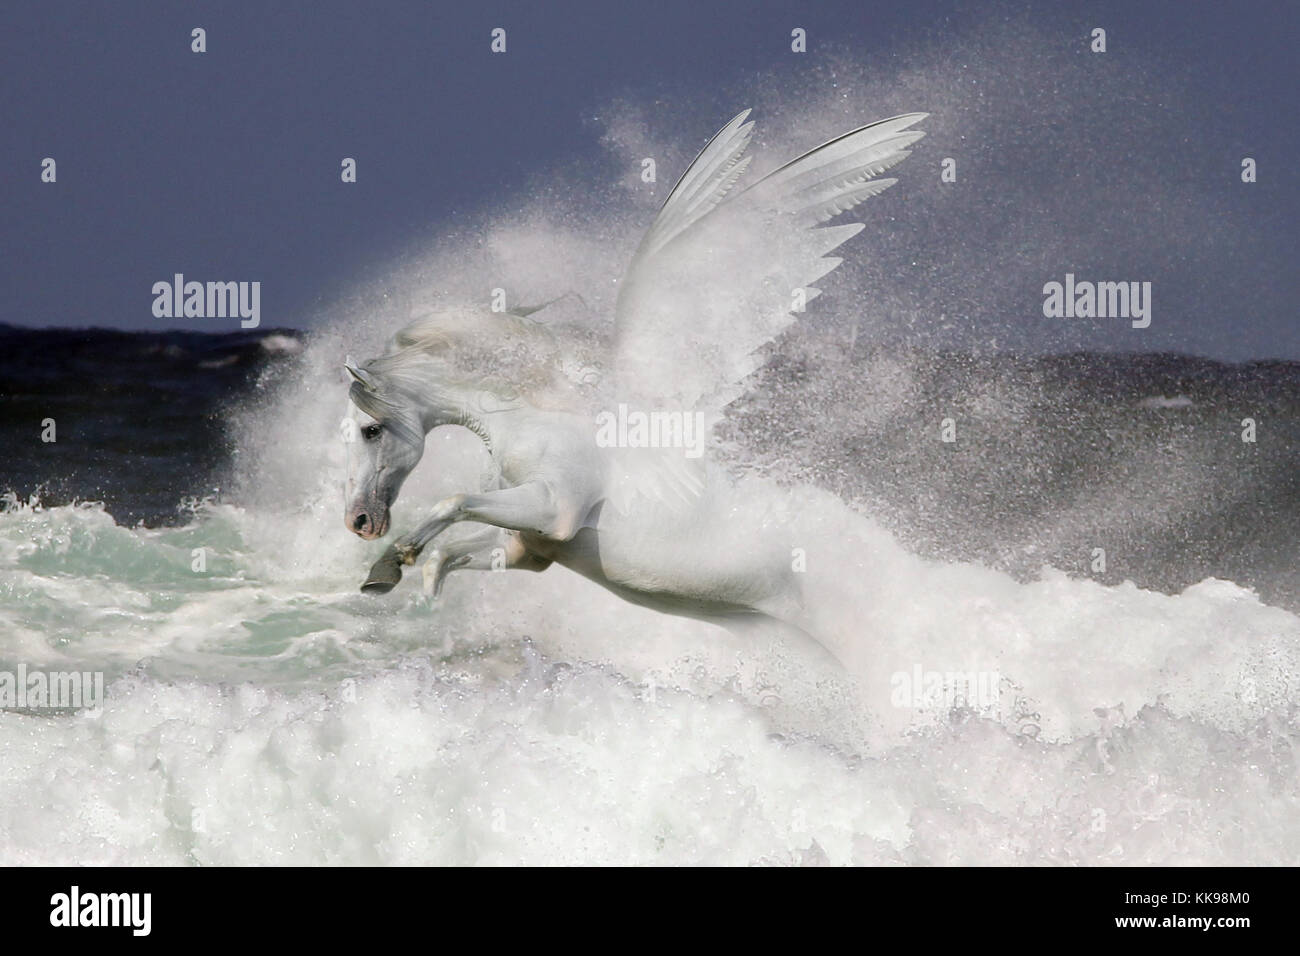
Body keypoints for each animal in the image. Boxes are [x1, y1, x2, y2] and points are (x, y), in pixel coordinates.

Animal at [342, 109, 927, 652]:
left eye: (371, 430)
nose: (359, 522)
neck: (529, 422)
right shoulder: (529, 550)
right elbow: (447, 554)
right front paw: (392, 577)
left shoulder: (555, 508)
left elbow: (453, 502)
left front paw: (399, 556)